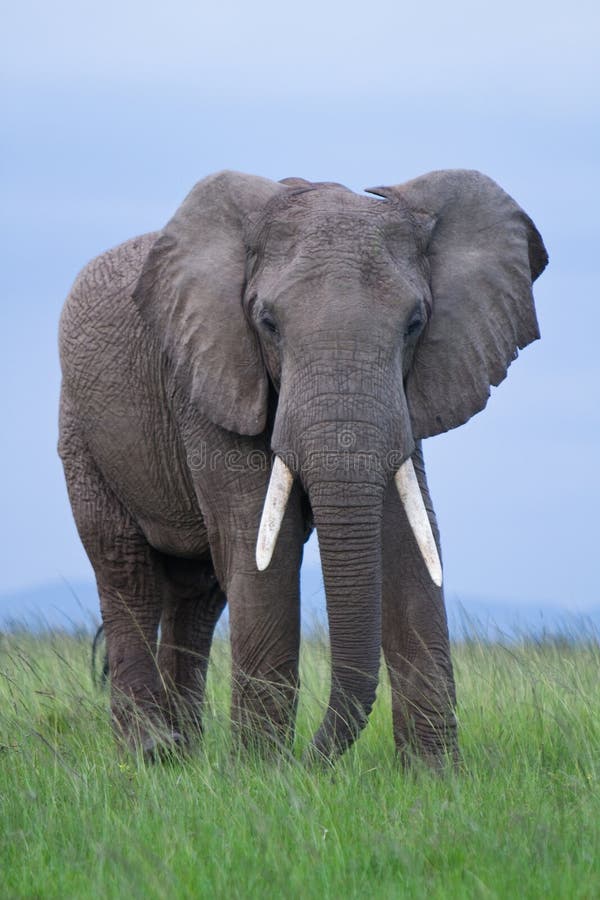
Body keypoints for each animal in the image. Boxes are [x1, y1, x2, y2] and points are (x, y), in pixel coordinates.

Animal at [58, 169, 547, 764]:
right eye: (268, 323)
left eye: (415, 324)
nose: (311, 761)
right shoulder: (207, 375)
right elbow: (261, 539)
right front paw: (260, 772)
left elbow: (408, 538)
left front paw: (435, 775)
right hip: (81, 432)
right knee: (127, 571)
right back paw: (150, 754)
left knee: (197, 593)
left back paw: (185, 755)